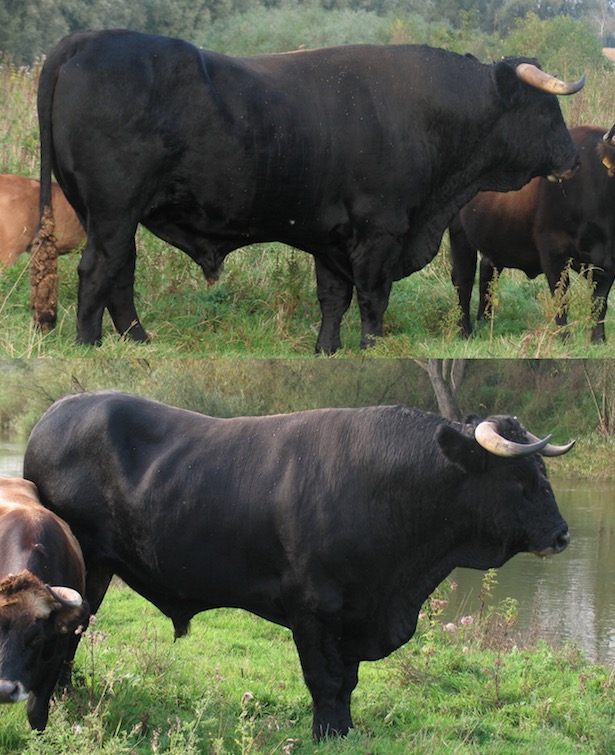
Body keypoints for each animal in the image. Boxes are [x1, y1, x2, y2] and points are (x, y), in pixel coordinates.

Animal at [23, 390, 574, 740]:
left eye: (543, 473)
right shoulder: (314, 609)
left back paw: (70, 693)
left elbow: (346, 681)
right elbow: (324, 680)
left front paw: (345, 731)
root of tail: (57, 411)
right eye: (520, 479)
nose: (563, 534)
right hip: (87, 562)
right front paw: (326, 733)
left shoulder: (357, 611)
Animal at [30, 30, 584, 352]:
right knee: (97, 271)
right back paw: (89, 344)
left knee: (119, 273)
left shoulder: (329, 238)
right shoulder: (380, 231)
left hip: (107, 213)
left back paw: (138, 340)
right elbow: (373, 298)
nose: (574, 159)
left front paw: (327, 349)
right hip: (114, 210)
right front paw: (371, 348)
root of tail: (87, 41)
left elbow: (333, 298)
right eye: (545, 109)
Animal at [449, 125, 615, 342]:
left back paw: (484, 320)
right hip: (459, 233)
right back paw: (465, 331)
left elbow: (599, 303)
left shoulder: (608, 261)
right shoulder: (553, 250)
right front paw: (564, 338)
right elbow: (561, 297)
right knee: (463, 279)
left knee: (487, 269)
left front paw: (598, 339)